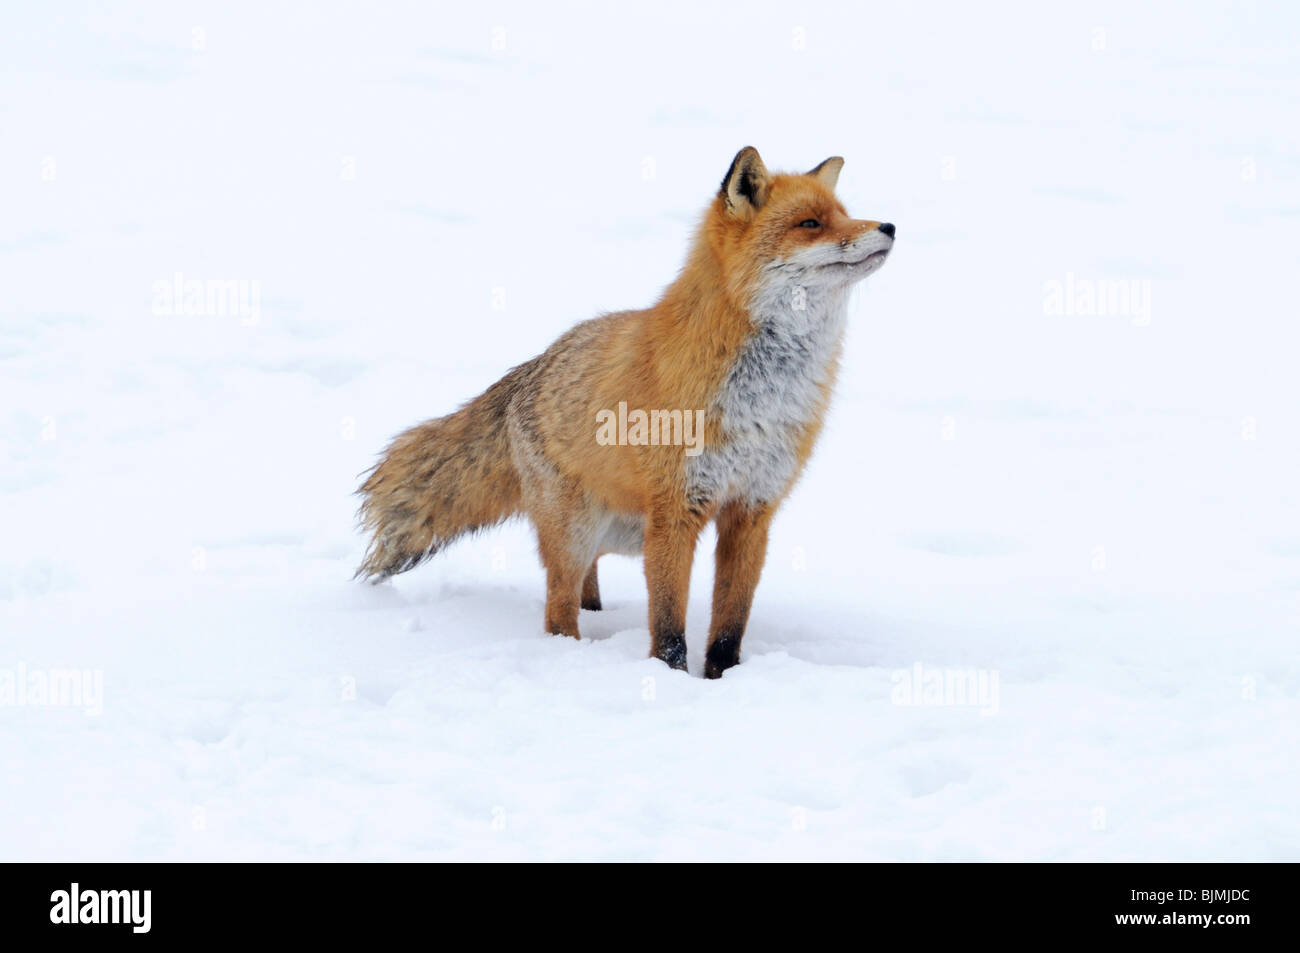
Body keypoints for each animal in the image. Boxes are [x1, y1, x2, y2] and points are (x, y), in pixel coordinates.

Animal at [356, 146, 895, 678]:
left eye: (845, 214)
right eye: (810, 224)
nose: (889, 226)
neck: (761, 396)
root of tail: (534, 365)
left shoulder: (752, 509)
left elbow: (730, 622)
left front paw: (723, 678)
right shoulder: (675, 509)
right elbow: (669, 623)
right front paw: (669, 677)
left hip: (620, 532)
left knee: (584, 586)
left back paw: (596, 613)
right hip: (580, 531)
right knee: (558, 607)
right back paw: (568, 655)